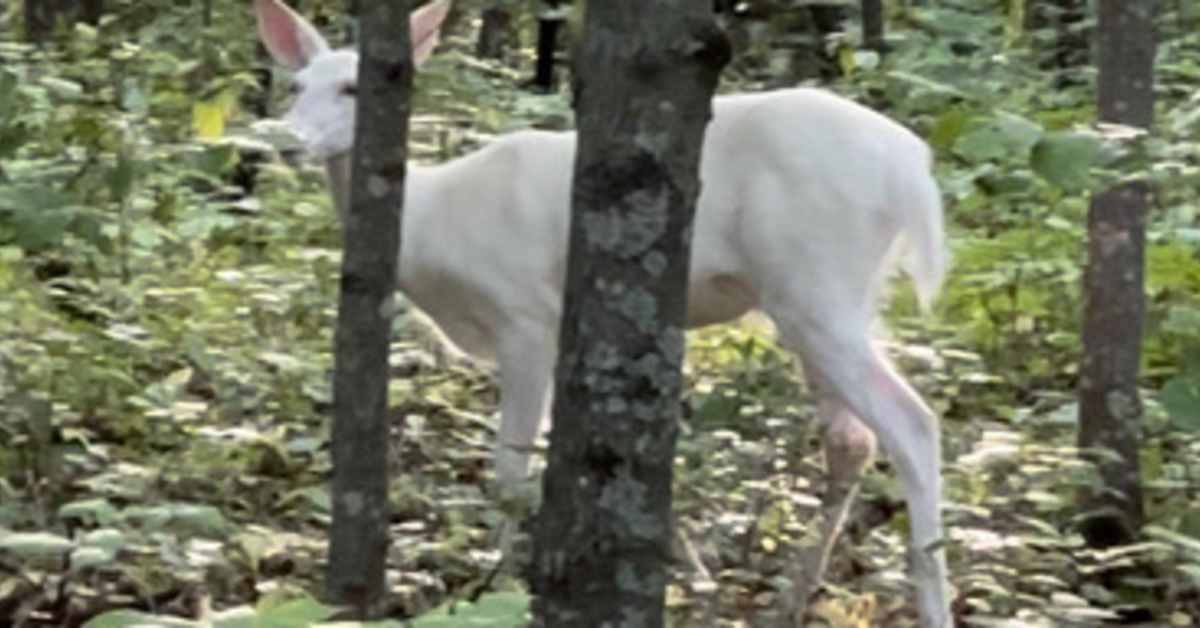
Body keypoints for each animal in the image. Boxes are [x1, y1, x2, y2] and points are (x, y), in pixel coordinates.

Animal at [253, 0, 953, 625]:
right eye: (296, 85)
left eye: (352, 88)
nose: (287, 141)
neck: (433, 222)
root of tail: (914, 171)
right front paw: (683, 568)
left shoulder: (526, 313)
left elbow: (510, 466)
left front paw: (493, 587)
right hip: (831, 296)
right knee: (853, 439)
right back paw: (791, 600)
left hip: (816, 282)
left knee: (913, 424)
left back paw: (930, 603)